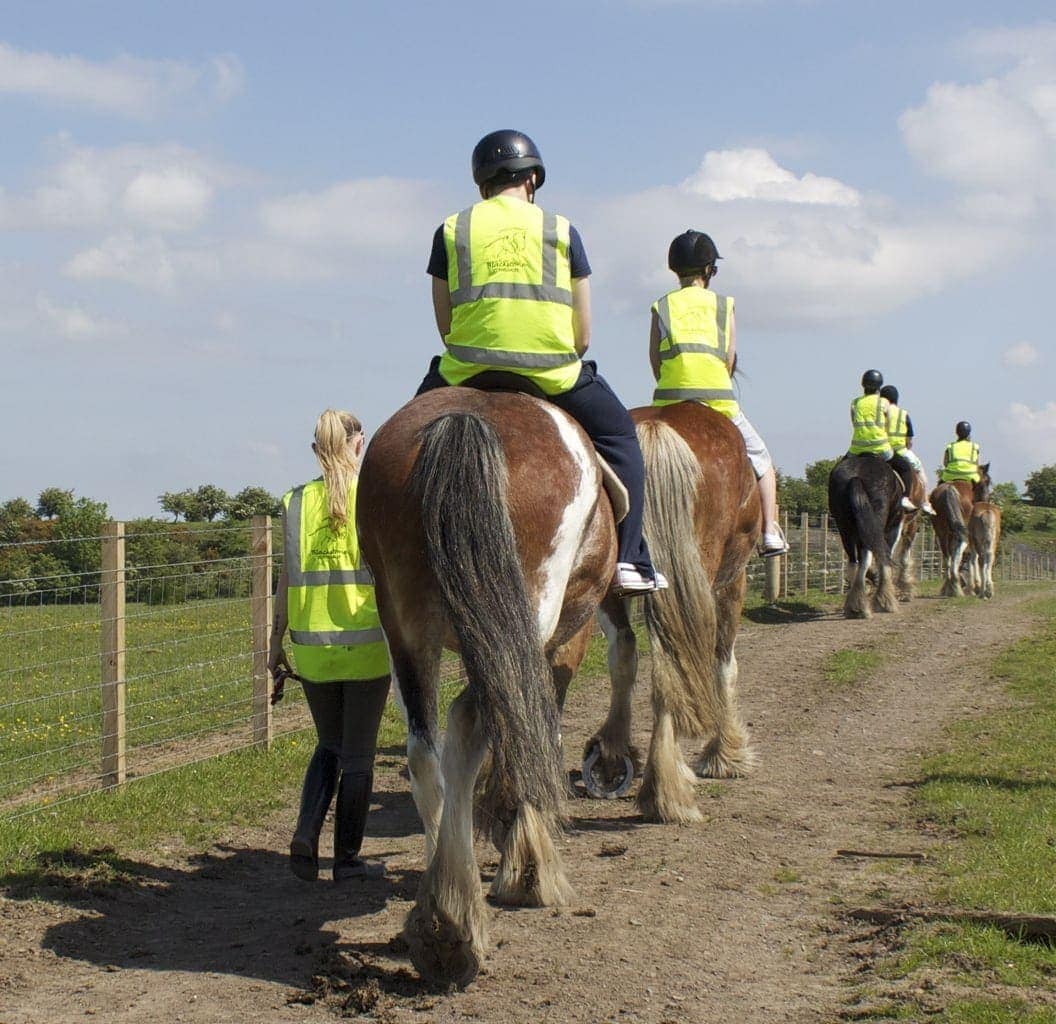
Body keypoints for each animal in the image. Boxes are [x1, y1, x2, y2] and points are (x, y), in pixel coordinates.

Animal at [356, 387, 616, 988]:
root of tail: (465, 420)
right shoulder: (563, 640)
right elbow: (537, 727)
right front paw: (527, 863)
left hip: (406, 626)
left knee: (426, 747)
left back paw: (439, 912)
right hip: (528, 611)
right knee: (476, 721)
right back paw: (456, 925)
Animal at [580, 402, 761, 823]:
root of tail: (657, 428)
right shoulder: (734, 582)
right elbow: (724, 664)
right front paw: (726, 753)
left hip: (612, 584)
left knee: (625, 653)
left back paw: (613, 758)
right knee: (672, 664)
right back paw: (667, 790)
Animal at [828, 454, 903, 618]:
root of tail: (856, 477)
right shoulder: (892, 526)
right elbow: (885, 555)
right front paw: (884, 599)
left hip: (844, 528)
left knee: (853, 561)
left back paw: (853, 605)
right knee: (869, 557)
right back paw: (865, 606)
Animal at [930, 464, 991, 598]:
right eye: (987, 481)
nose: (986, 500)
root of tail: (949, 489)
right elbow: (973, 556)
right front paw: (975, 586)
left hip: (941, 530)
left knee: (947, 556)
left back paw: (951, 585)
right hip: (963, 529)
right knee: (963, 549)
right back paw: (957, 584)